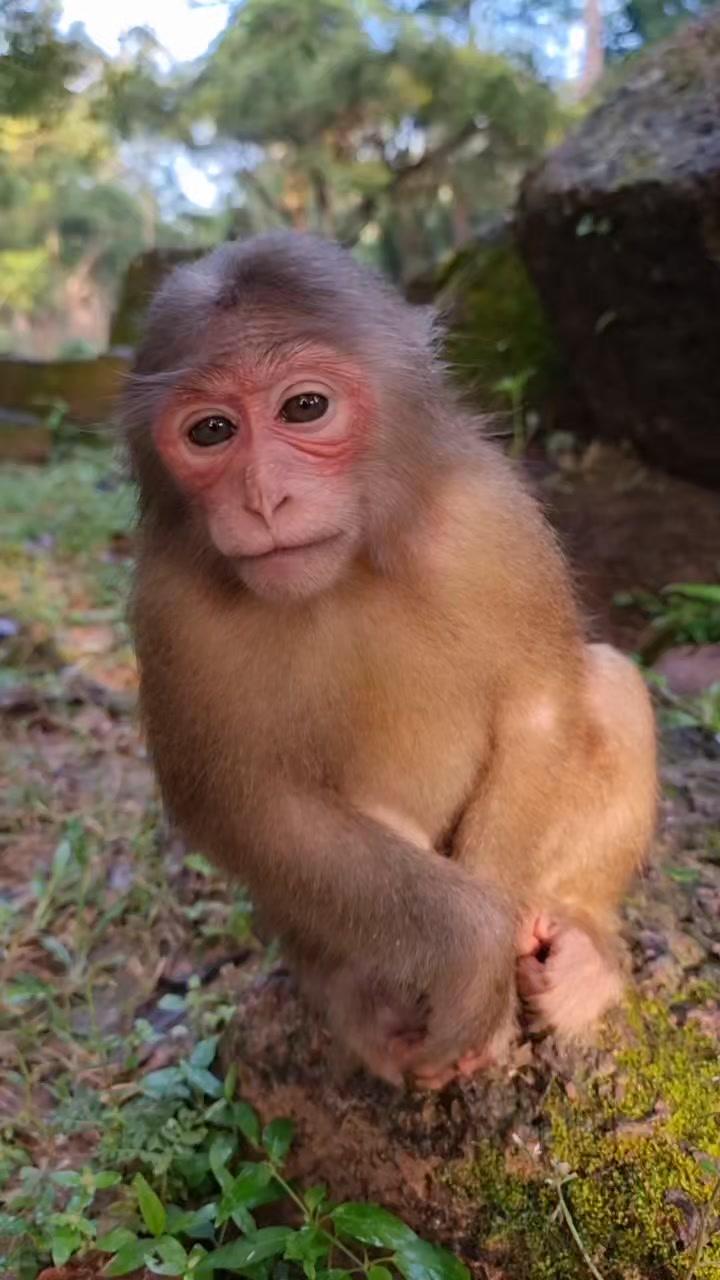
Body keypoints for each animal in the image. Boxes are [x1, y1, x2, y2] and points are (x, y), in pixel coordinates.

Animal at [122, 231, 657, 1090]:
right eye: (210, 432)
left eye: (305, 407)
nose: (264, 499)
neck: (349, 568)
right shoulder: (169, 607)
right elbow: (247, 800)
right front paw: (474, 956)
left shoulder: (486, 512)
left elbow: (541, 705)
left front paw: (499, 981)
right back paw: (360, 1001)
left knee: (608, 684)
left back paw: (581, 949)